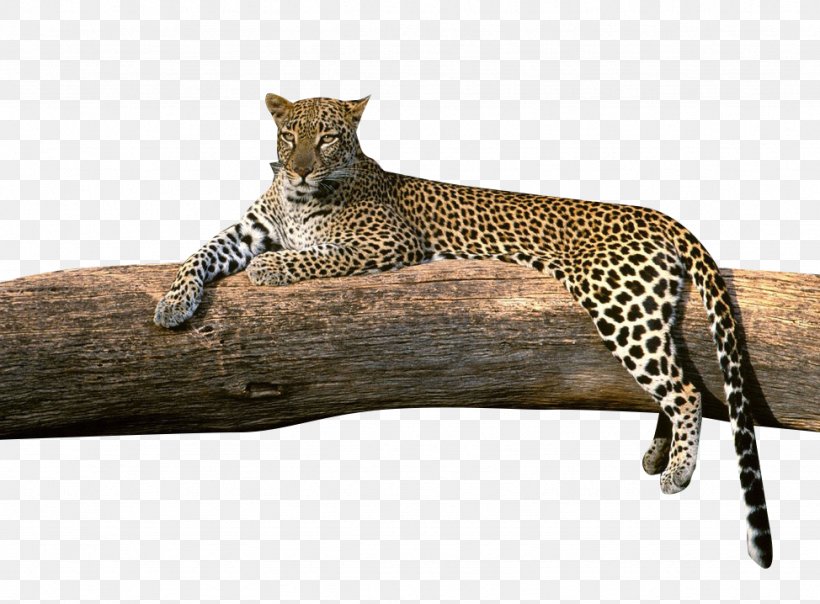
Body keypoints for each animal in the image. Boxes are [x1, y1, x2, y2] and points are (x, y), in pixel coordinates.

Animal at [154, 94, 773, 567]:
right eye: (289, 136)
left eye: (327, 138)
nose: (301, 167)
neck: (297, 197)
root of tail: (658, 215)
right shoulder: (246, 230)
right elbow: (200, 253)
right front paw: (171, 305)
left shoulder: (387, 243)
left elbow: (314, 256)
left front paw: (270, 269)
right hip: (647, 307)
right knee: (676, 374)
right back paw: (659, 454)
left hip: (616, 301)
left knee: (685, 389)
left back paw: (678, 473)